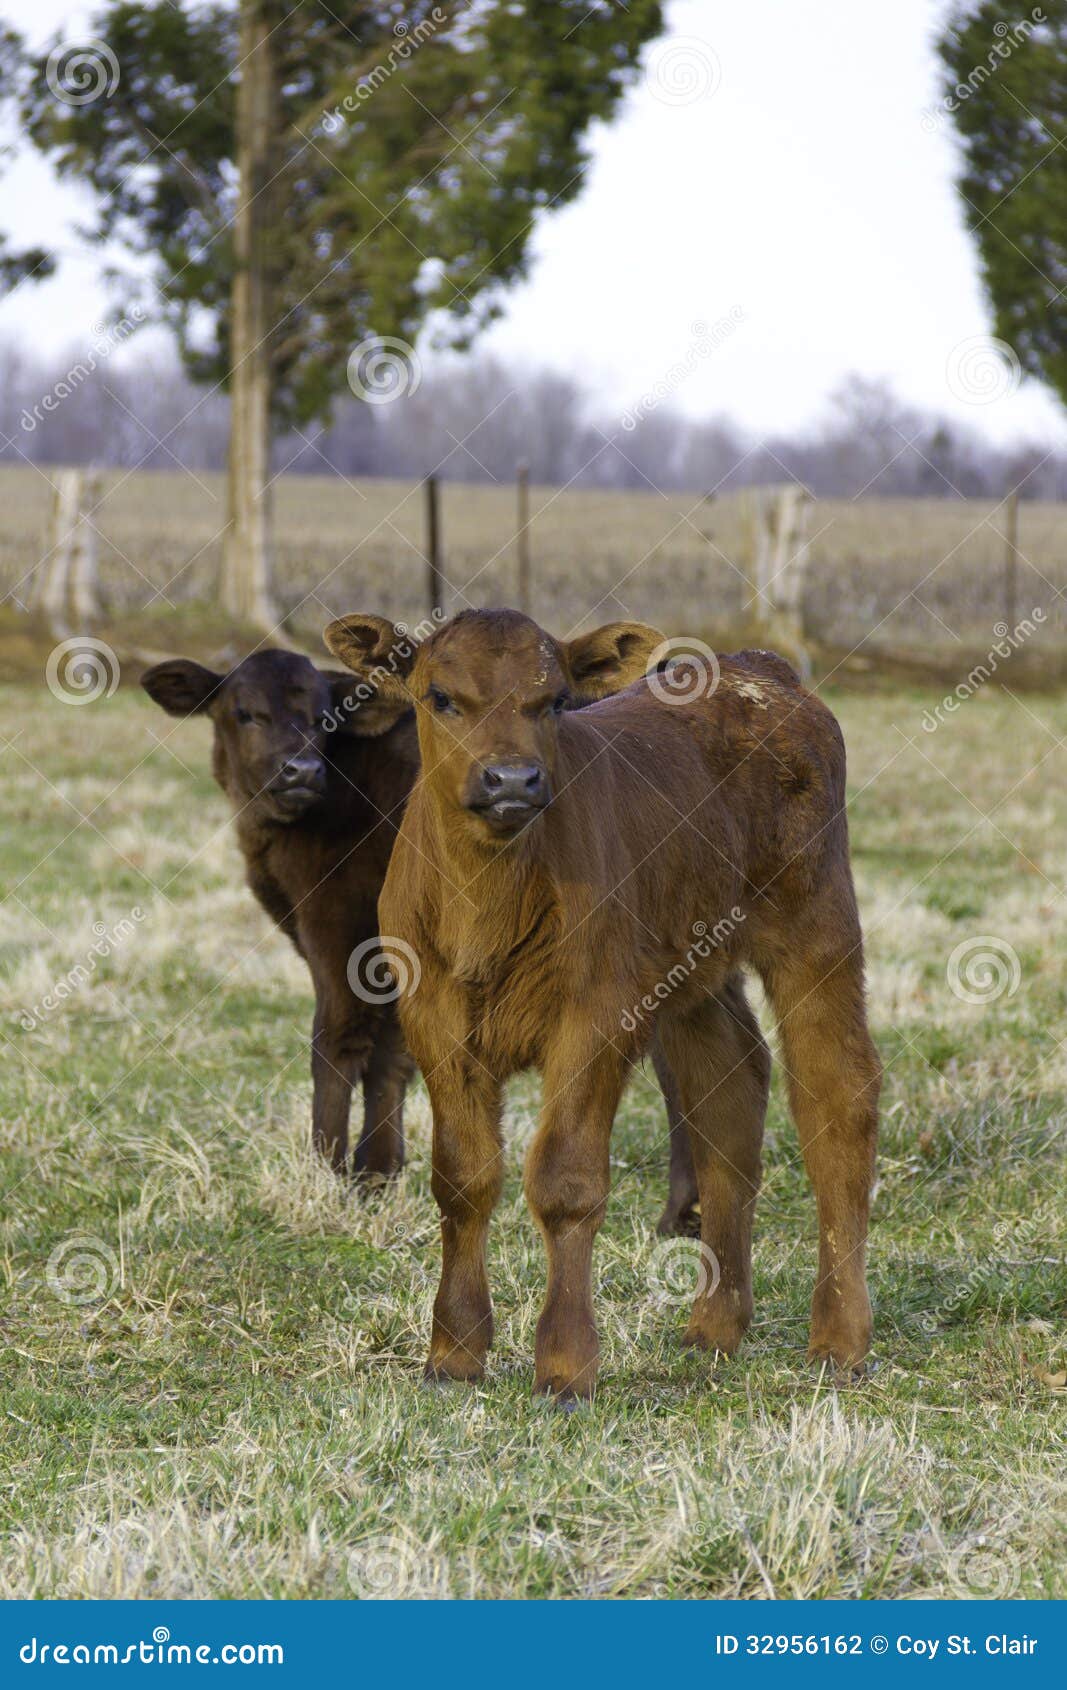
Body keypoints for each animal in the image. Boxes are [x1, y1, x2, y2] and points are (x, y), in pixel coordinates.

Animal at [324, 608, 881, 1403]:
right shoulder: (433, 1019)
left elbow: (565, 1181)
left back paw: (838, 1338)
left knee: (837, 1100)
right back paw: (716, 1324)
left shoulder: (596, 1015)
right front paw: (454, 1353)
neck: (488, 906)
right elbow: (463, 1179)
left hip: (817, 924)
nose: (513, 778)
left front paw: (564, 1366)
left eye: (555, 701)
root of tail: (760, 669)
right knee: (729, 1096)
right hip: (693, 967)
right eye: (440, 697)